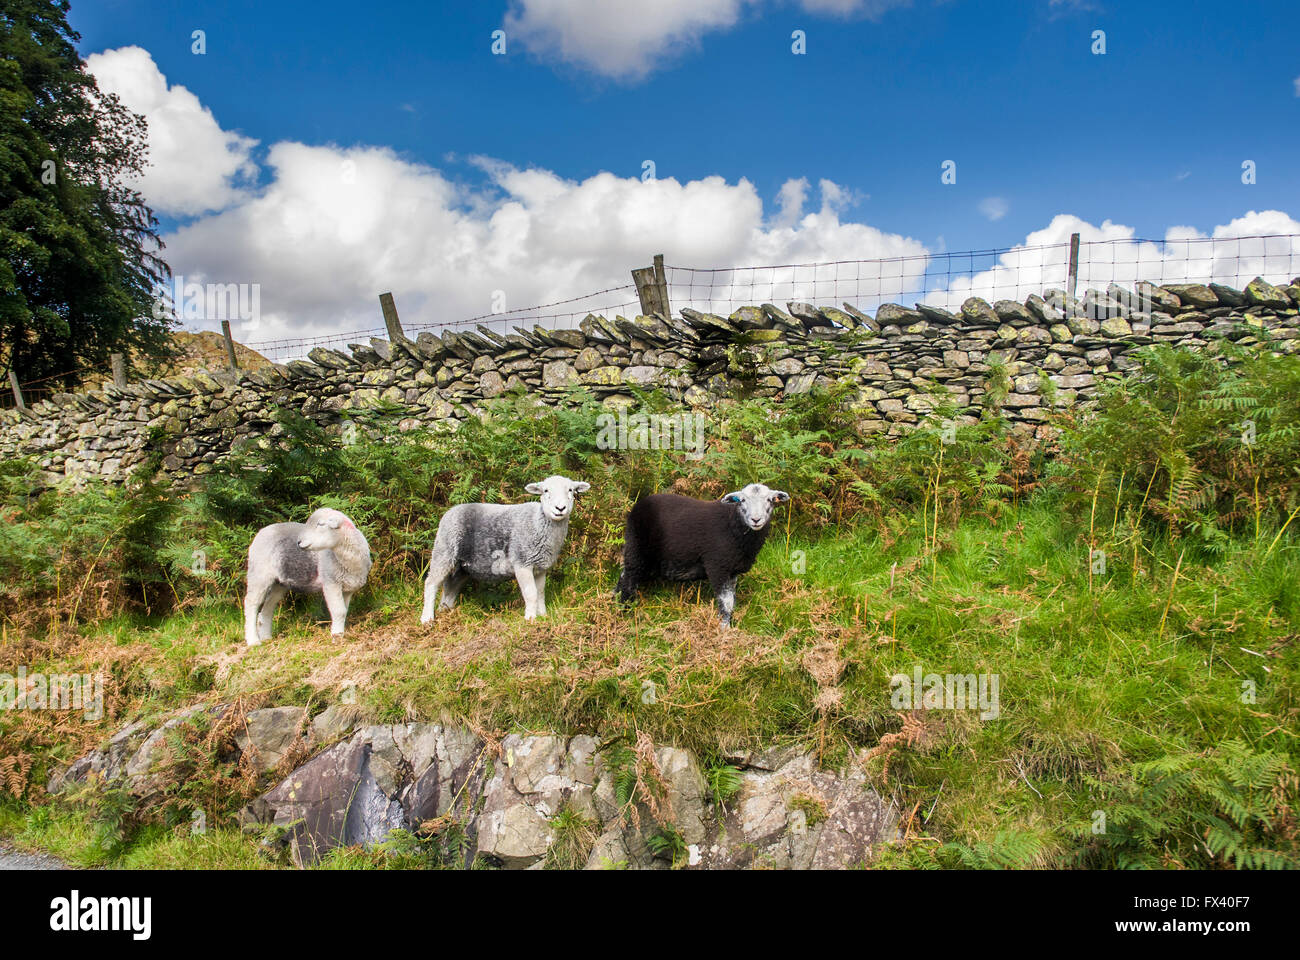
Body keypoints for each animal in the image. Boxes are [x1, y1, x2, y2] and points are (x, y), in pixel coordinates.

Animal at [243, 507, 372, 646]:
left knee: (267, 608)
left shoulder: (347, 588)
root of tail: (260, 532)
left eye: (321, 524)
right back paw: (253, 641)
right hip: (259, 574)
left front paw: (341, 634)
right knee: (251, 603)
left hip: (280, 583)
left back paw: (266, 637)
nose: (299, 542)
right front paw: (337, 636)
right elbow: (339, 611)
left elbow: (344, 610)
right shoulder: (331, 582)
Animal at [420, 475, 590, 623]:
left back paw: (445, 611)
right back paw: (427, 618)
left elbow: (541, 593)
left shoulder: (540, 568)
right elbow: (531, 593)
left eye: (571, 490)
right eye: (546, 490)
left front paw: (543, 615)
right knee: (431, 583)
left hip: (463, 566)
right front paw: (530, 618)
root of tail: (450, 511)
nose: (560, 508)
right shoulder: (522, 563)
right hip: (444, 550)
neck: (538, 522)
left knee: (450, 585)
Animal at [615, 483, 790, 626]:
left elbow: (731, 601)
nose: (756, 519)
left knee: (624, 576)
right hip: (636, 546)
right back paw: (624, 611)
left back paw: (615, 602)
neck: (734, 526)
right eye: (742, 500)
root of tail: (638, 505)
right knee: (629, 580)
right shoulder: (717, 566)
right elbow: (726, 602)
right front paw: (724, 629)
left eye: (769, 500)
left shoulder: (732, 570)